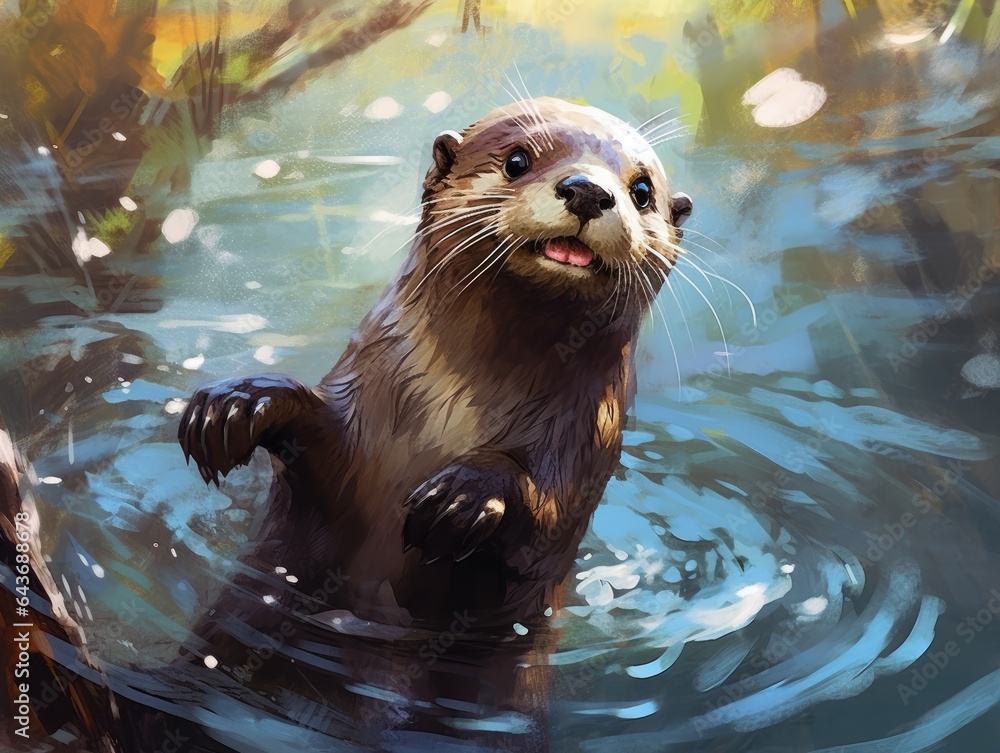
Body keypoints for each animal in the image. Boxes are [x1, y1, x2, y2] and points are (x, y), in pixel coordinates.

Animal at [178, 97, 692, 632]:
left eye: (642, 191)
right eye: (517, 160)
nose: (589, 190)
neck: (456, 413)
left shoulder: (583, 448)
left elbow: (543, 526)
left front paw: (465, 494)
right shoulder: (355, 434)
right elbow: (317, 451)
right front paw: (237, 403)